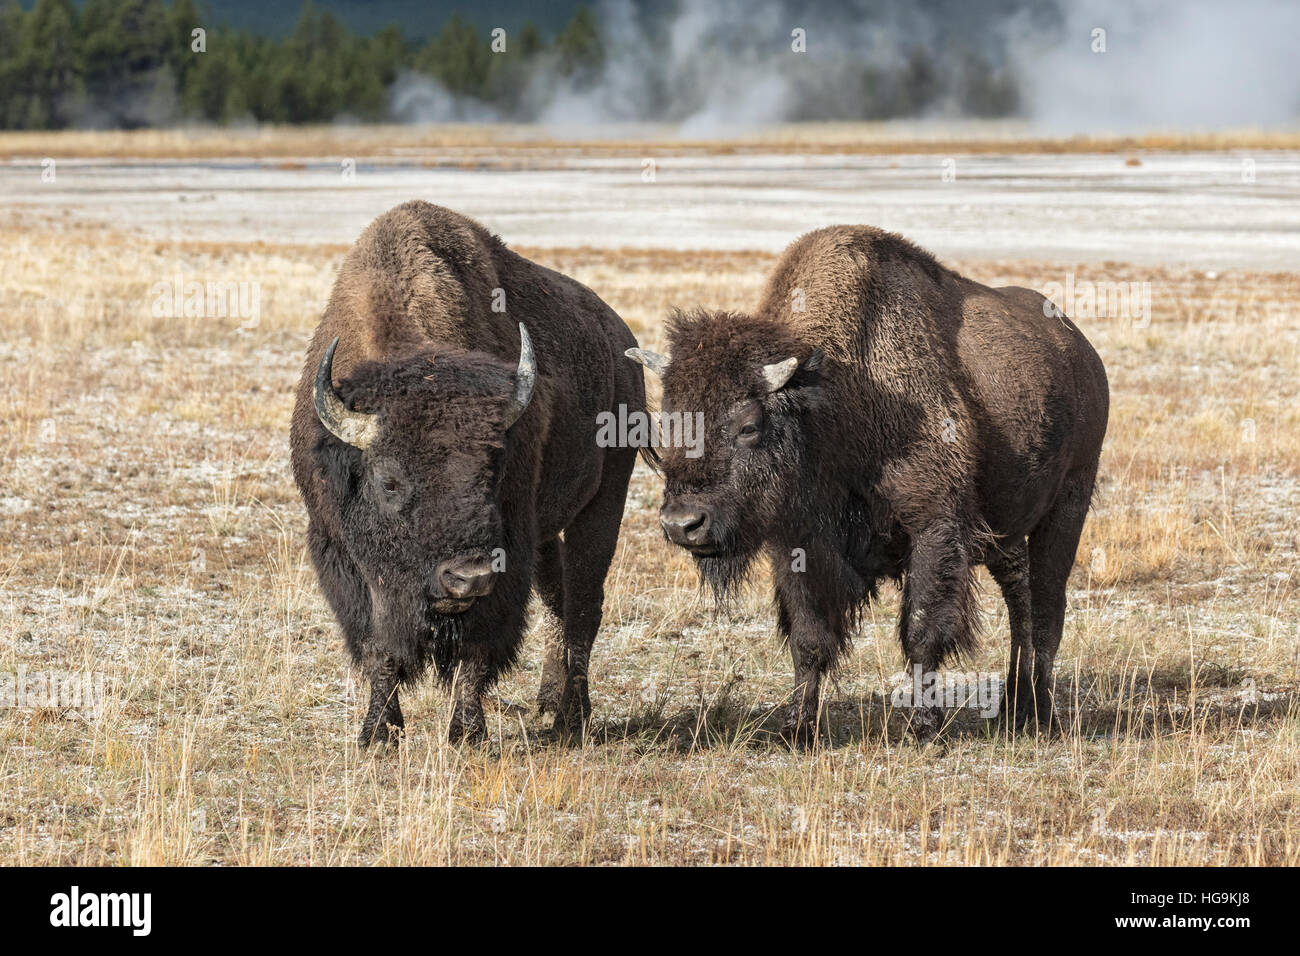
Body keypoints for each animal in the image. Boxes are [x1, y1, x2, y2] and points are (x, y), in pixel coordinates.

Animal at [291, 201, 646, 746]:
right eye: (389, 481)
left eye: (493, 470)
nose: (467, 577)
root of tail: (621, 341)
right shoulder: (340, 555)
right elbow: (378, 646)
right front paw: (379, 731)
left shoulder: (508, 555)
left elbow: (477, 650)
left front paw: (466, 731)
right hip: (550, 531)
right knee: (558, 598)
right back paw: (548, 700)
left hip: (604, 502)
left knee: (585, 606)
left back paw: (572, 716)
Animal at [628, 225, 1109, 744]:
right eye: (667, 421)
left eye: (748, 426)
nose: (683, 524)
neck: (835, 400)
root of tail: (1083, 353)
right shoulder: (798, 544)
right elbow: (809, 638)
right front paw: (797, 730)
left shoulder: (934, 527)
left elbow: (921, 631)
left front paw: (923, 728)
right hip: (1007, 529)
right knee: (1021, 597)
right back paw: (1017, 707)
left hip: (1067, 507)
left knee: (1046, 610)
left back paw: (1042, 712)